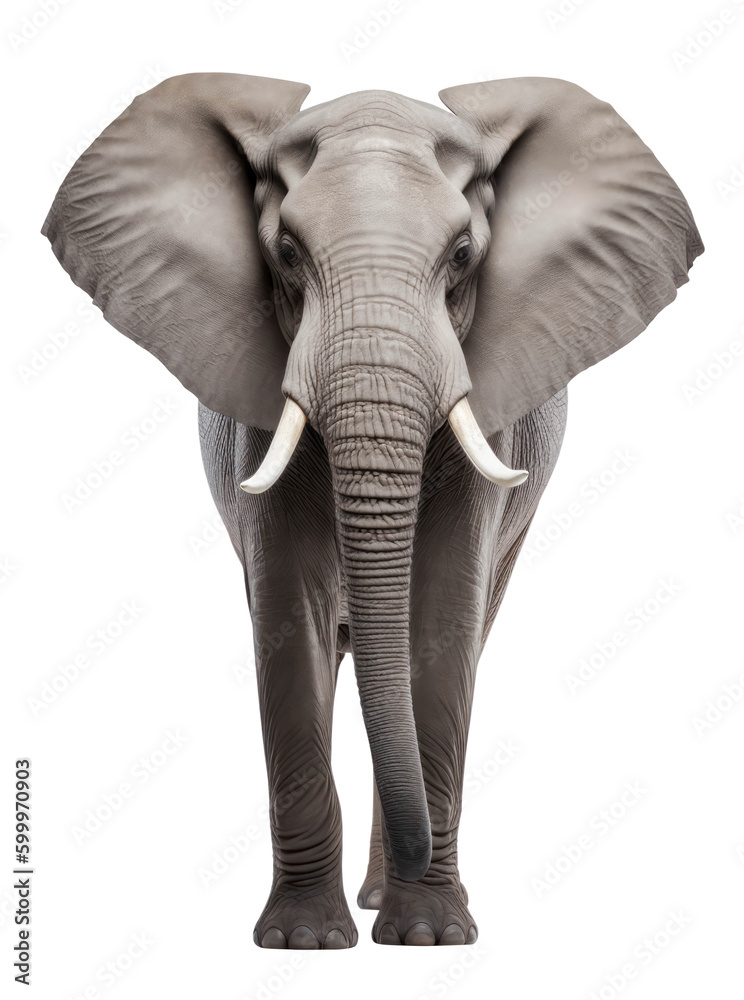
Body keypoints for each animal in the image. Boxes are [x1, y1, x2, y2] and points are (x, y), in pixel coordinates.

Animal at [43, 73, 702, 948]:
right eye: (287, 254)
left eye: (463, 258)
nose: (419, 862)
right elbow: (291, 621)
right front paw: (304, 941)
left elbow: (442, 622)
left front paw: (427, 933)